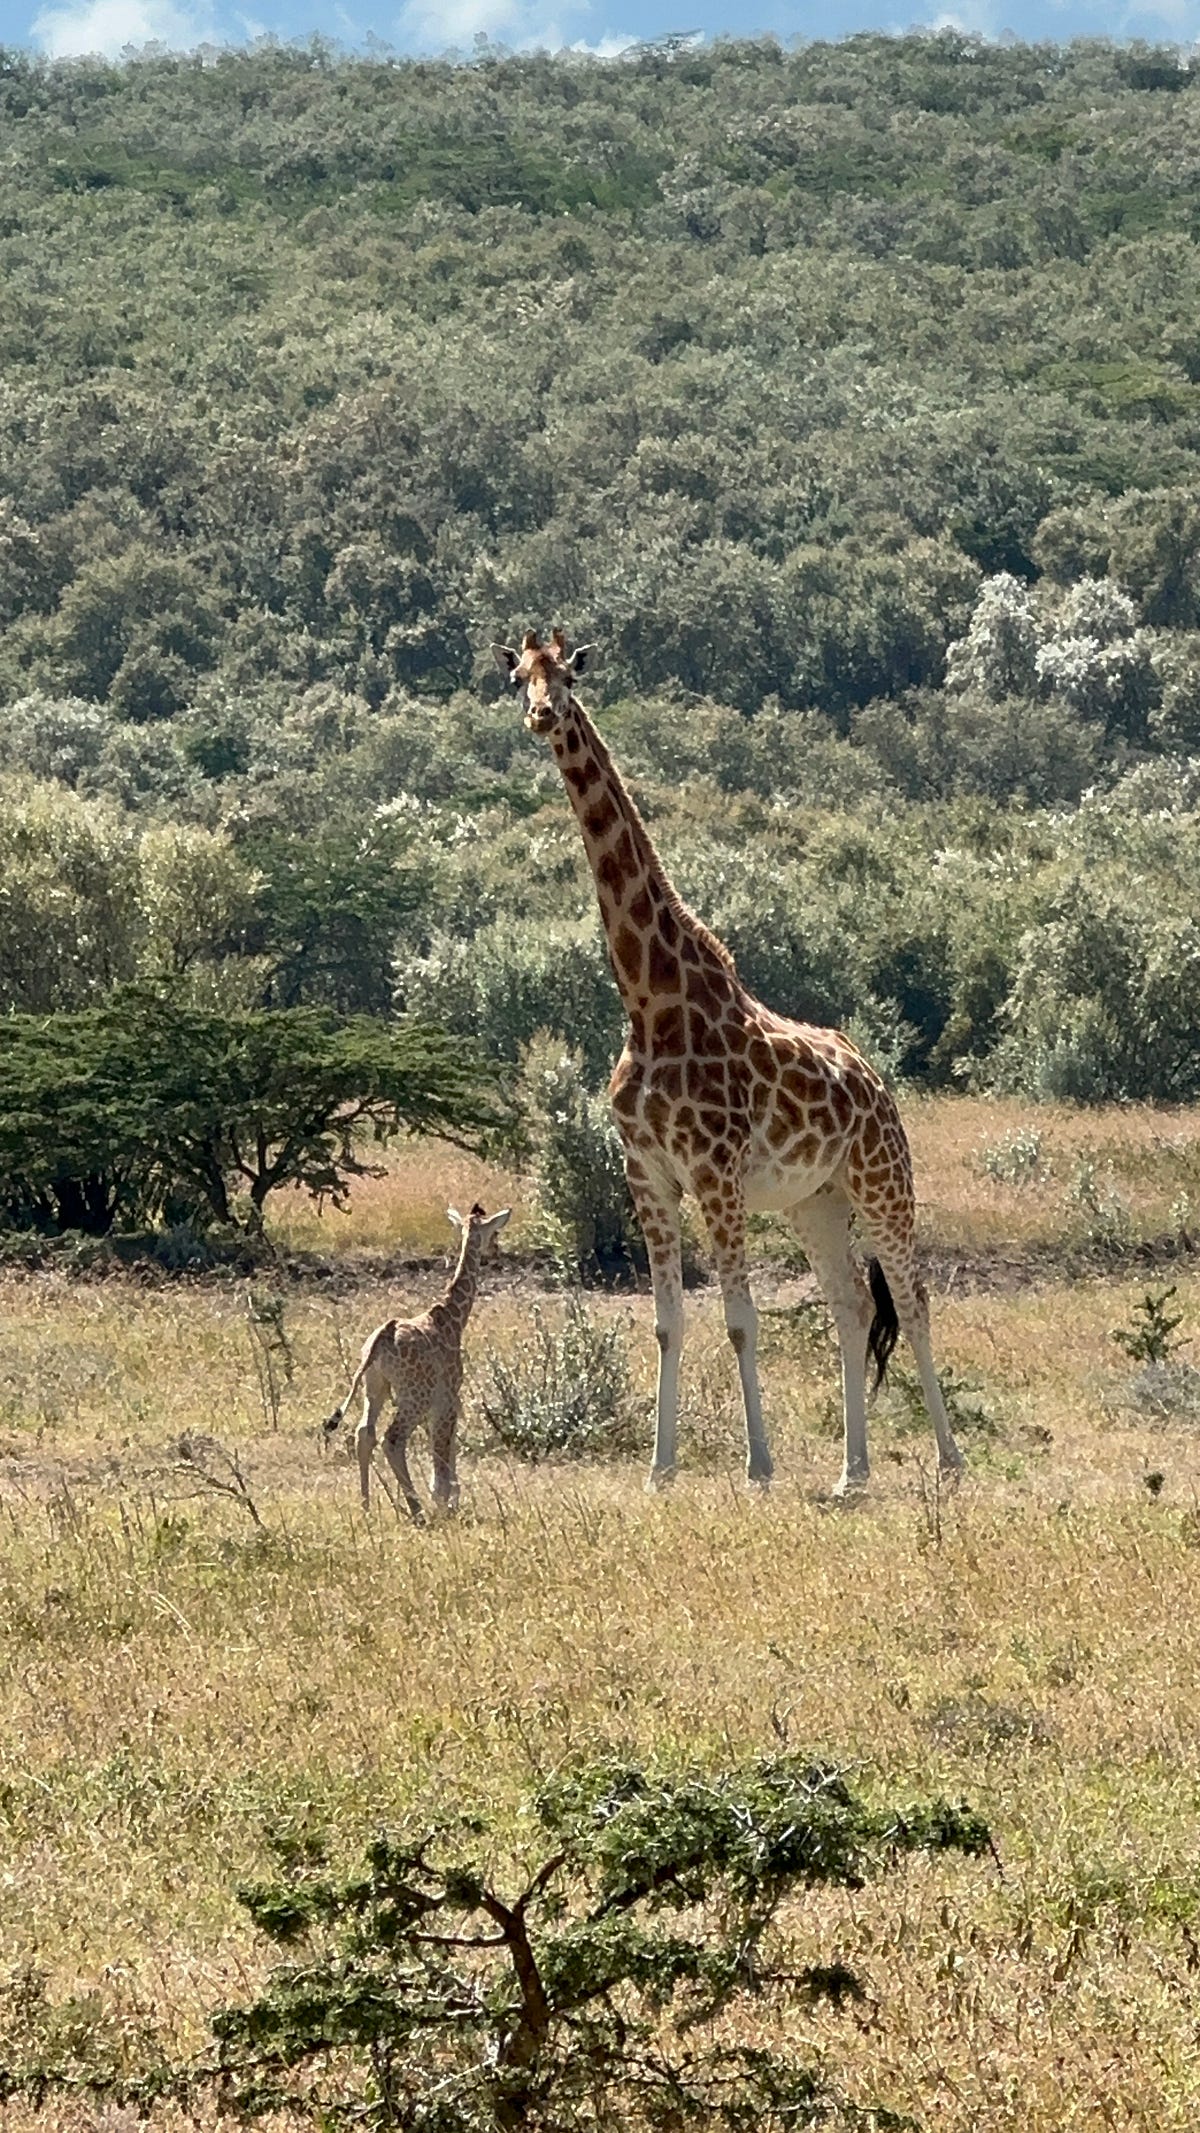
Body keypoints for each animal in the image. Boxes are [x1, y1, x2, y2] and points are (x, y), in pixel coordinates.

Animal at [323, 1202, 511, 1516]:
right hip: (414, 1395)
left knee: (364, 1433)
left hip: (374, 1386)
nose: (497, 1249)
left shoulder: (443, 1398)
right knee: (392, 1439)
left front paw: (448, 1497)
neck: (452, 1317)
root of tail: (380, 1341)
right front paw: (444, 1498)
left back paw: (366, 1505)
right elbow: (444, 1441)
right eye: (493, 1231)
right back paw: (417, 1509)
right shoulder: (447, 1394)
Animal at [492, 629, 965, 1497]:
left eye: (568, 674)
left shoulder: (714, 1172)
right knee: (851, 1305)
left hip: (883, 1178)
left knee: (912, 1296)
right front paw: (660, 1469)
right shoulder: (647, 1172)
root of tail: (877, 1080)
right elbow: (667, 1321)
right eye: (519, 677)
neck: (650, 1003)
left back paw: (949, 1459)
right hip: (817, 1198)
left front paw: (759, 1465)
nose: (542, 715)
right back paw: (851, 1475)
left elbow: (741, 1321)